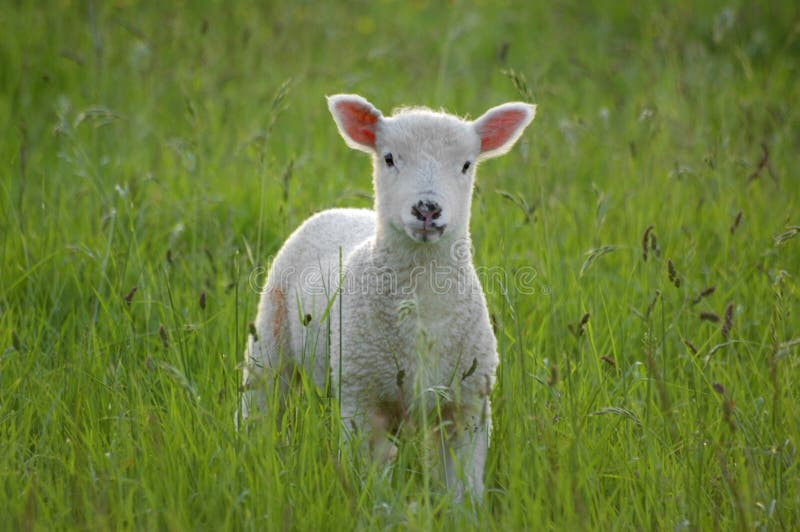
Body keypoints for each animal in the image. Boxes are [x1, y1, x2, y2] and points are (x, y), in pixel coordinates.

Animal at [241, 94, 535, 501]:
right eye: (389, 158)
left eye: (466, 164)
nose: (427, 209)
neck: (423, 301)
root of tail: (344, 210)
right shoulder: (361, 401)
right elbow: (370, 483)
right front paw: (375, 507)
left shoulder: (468, 404)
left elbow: (462, 489)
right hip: (270, 339)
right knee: (261, 403)